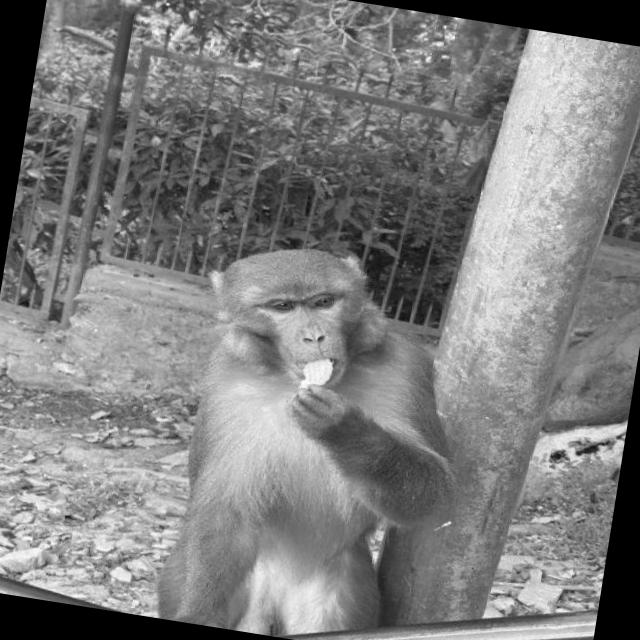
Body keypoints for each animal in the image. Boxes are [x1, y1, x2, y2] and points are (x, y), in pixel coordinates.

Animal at [157, 249, 453, 635]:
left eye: (323, 302)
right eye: (282, 307)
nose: (314, 336)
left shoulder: (407, 368)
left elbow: (436, 490)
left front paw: (345, 429)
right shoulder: (224, 384)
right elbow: (225, 511)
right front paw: (198, 612)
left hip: (343, 587)